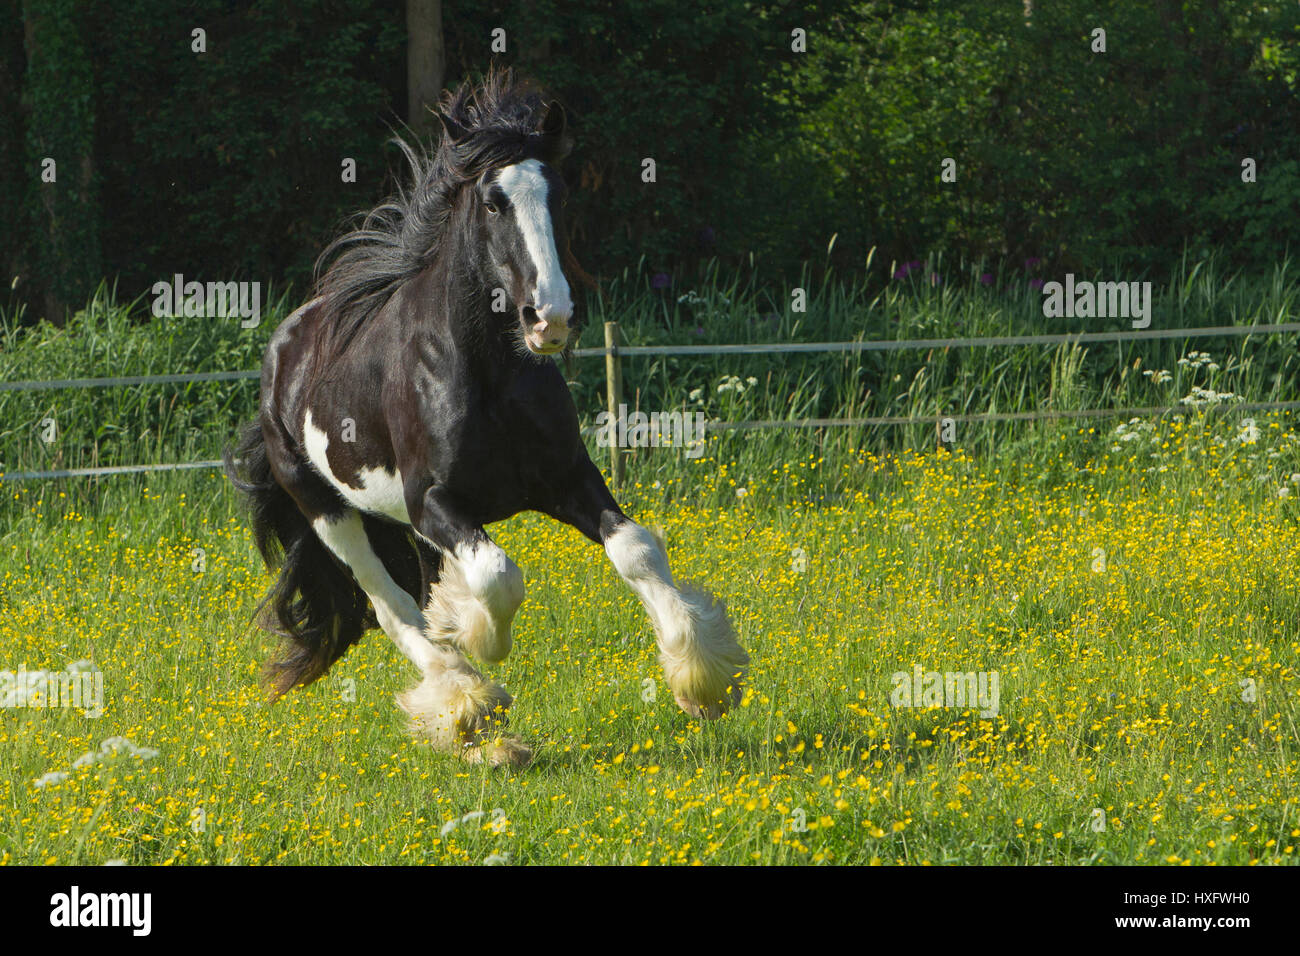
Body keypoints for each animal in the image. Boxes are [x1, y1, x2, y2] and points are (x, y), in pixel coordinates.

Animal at [224, 69, 748, 767]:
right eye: (494, 202)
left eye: (558, 195)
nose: (550, 318)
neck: (486, 374)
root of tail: (282, 352)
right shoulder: (434, 503)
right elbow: (497, 577)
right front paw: (473, 635)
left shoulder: (568, 480)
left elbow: (635, 548)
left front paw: (703, 680)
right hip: (329, 511)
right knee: (391, 607)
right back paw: (467, 703)